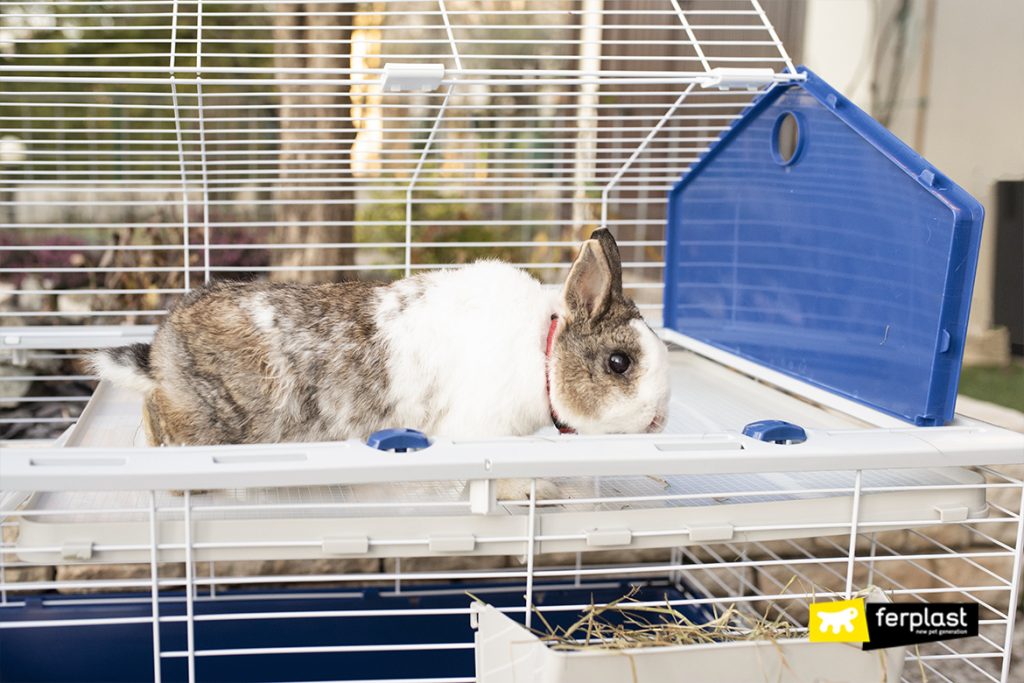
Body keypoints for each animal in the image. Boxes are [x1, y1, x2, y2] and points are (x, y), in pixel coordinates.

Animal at [90, 229, 671, 497]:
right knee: (158, 421)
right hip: (210, 419)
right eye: (619, 362)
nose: (661, 420)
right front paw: (532, 490)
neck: (543, 352)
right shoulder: (482, 436)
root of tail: (159, 353)